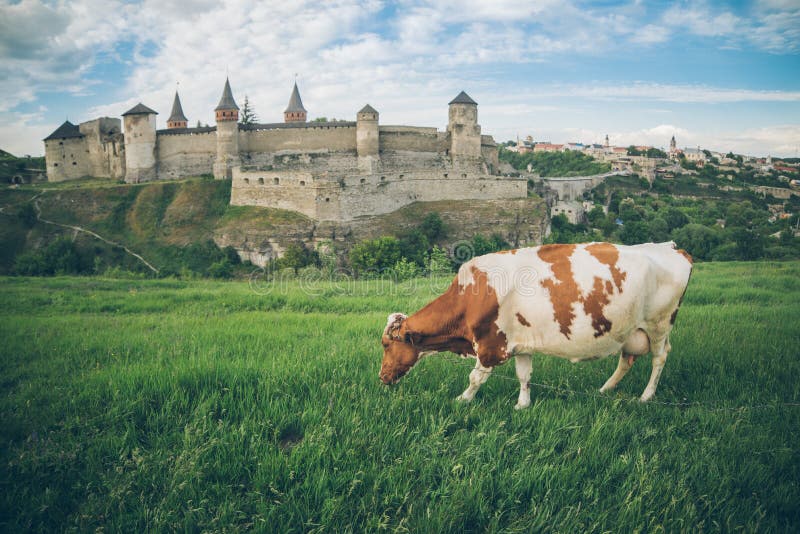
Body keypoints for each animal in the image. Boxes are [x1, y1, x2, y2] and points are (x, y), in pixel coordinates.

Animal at [379, 242, 693, 408]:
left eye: (386, 345)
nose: (382, 377)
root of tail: (671, 248)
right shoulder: (521, 343)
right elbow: (524, 375)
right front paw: (522, 404)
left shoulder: (491, 345)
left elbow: (475, 377)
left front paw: (462, 399)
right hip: (630, 330)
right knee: (626, 360)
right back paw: (605, 390)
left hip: (659, 324)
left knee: (659, 358)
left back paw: (646, 396)